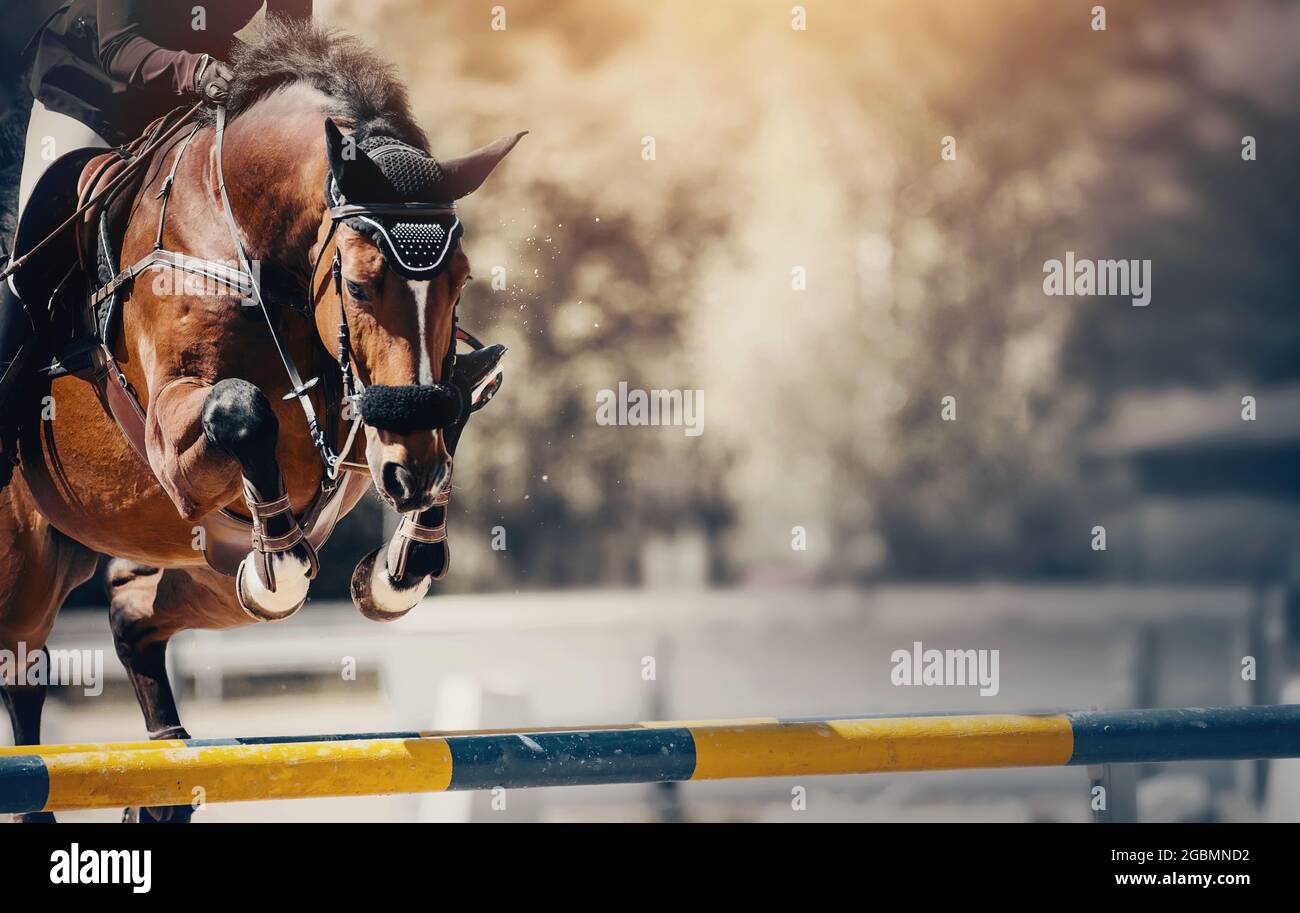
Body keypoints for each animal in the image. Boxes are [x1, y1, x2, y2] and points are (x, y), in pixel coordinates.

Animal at [0, 21, 524, 822]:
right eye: (361, 286)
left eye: (461, 280)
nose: (411, 474)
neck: (250, 244)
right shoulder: (173, 443)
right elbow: (242, 411)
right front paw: (280, 556)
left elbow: (457, 399)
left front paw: (401, 565)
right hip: (24, 569)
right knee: (24, 662)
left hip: (198, 572)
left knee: (126, 615)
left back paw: (159, 779)